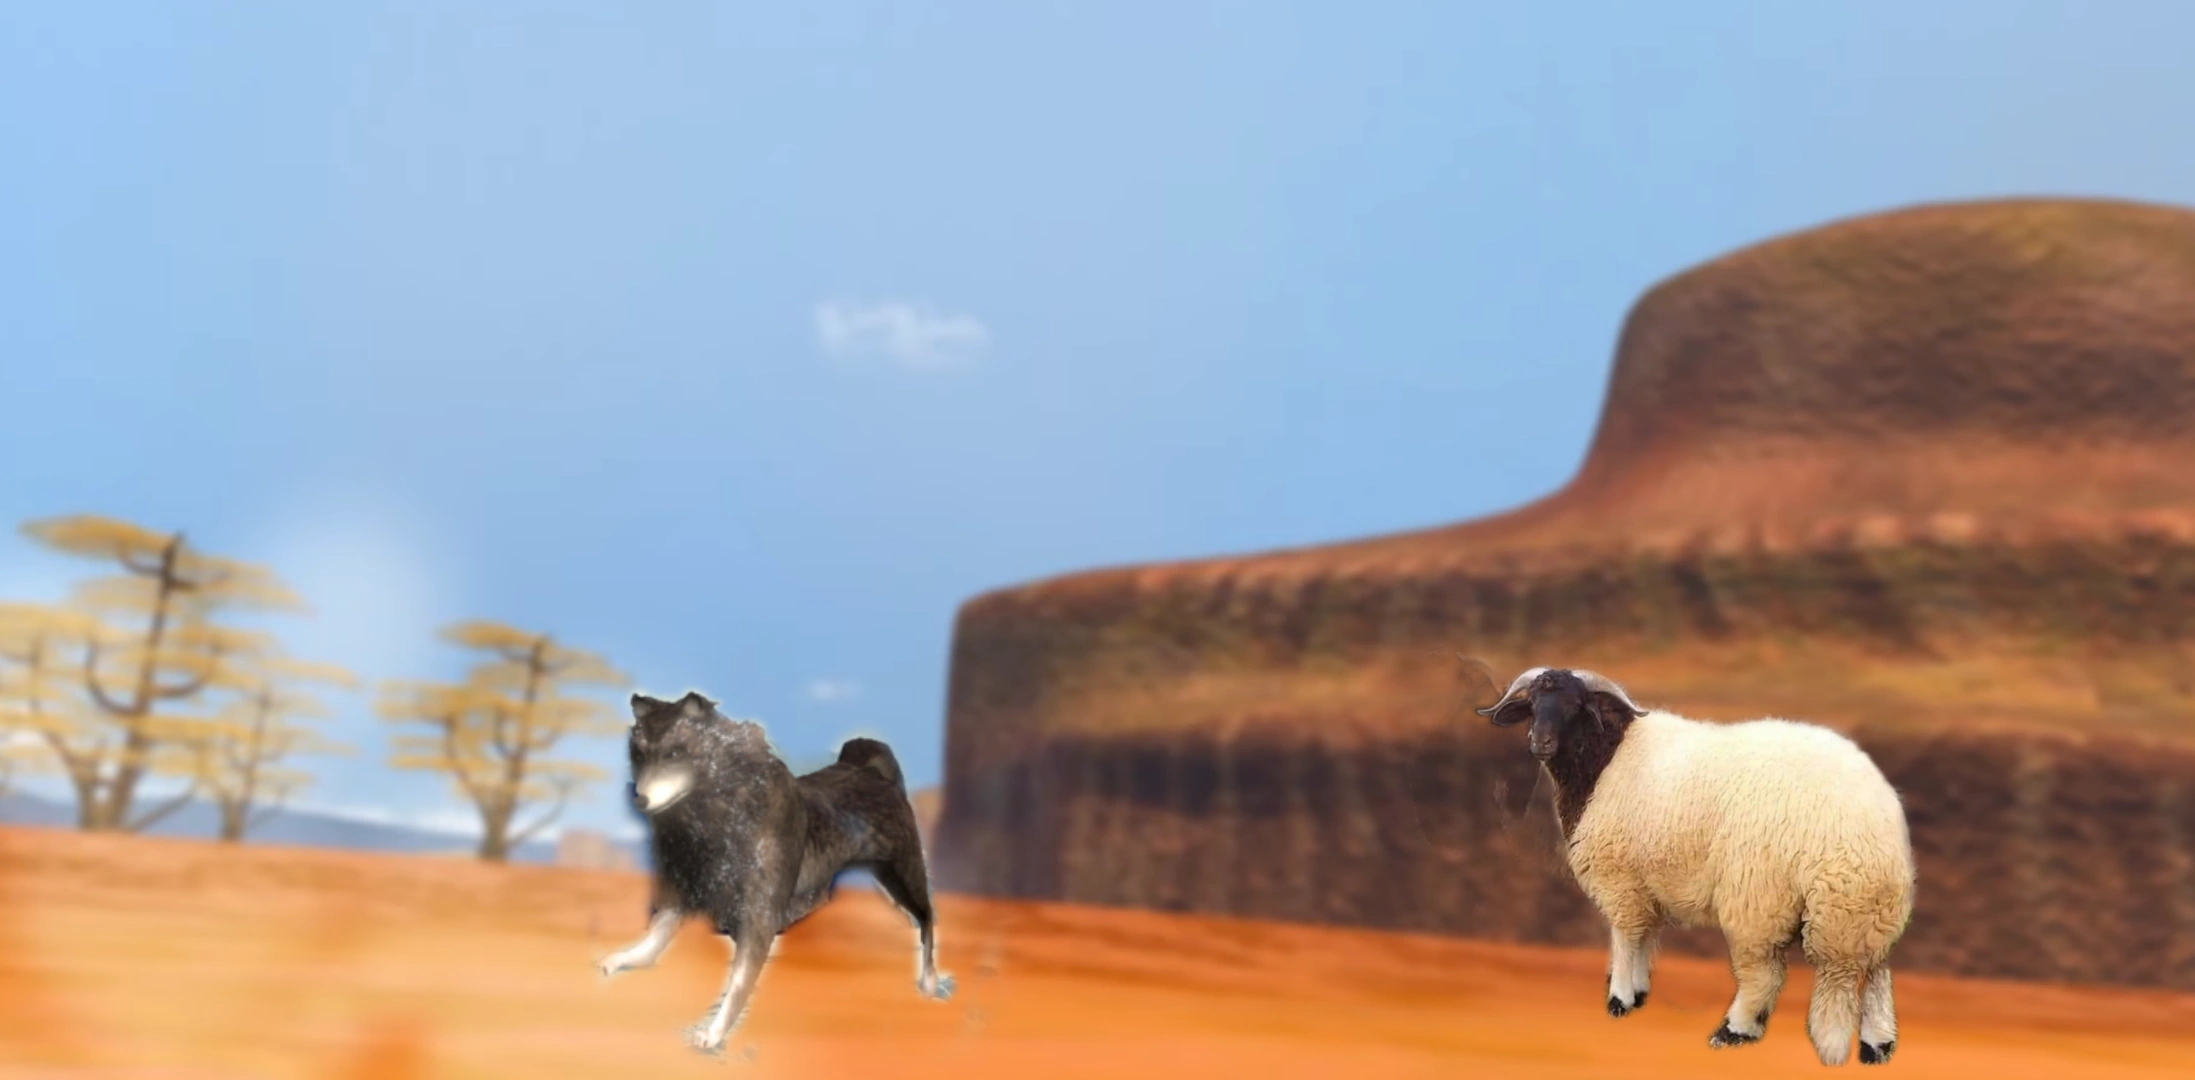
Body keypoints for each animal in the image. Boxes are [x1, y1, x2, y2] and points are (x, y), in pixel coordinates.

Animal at [596, 690, 955, 1055]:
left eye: (674, 753)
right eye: (639, 755)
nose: (638, 799)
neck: (715, 822)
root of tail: (872, 771)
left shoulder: (758, 913)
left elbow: (738, 982)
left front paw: (713, 1031)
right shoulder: (687, 886)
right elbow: (655, 935)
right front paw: (628, 957)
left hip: (903, 875)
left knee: (928, 918)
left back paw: (928, 980)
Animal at [1473, 664, 1916, 1067]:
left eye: (1576, 705)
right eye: (1533, 704)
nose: (1540, 742)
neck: (1608, 758)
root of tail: (1870, 818)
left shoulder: (1619, 877)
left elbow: (1624, 937)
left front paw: (1619, 997)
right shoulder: (1644, 881)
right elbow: (1644, 938)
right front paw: (1638, 988)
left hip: (1763, 897)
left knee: (1766, 974)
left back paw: (1734, 1030)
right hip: (1868, 908)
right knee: (1877, 973)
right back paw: (1877, 1045)